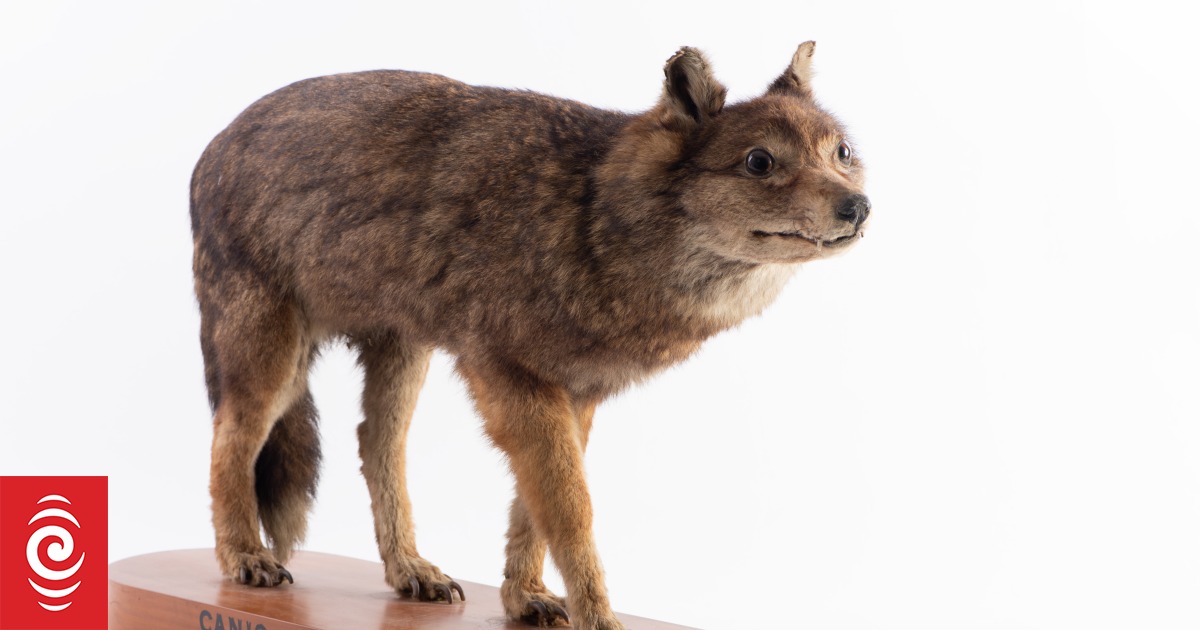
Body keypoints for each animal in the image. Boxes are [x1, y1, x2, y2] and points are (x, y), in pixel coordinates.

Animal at [190, 42, 868, 629]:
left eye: (841, 152)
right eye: (760, 161)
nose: (857, 208)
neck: (592, 213)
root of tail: (214, 145)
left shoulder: (576, 397)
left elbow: (534, 509)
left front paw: (528, 597)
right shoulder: (513, 382)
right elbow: (570, 510)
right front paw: (600, 619)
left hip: (403, 354)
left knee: (374, 445)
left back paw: (410, 570)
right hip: (272, 364)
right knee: (229, 438)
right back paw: (245, 557)